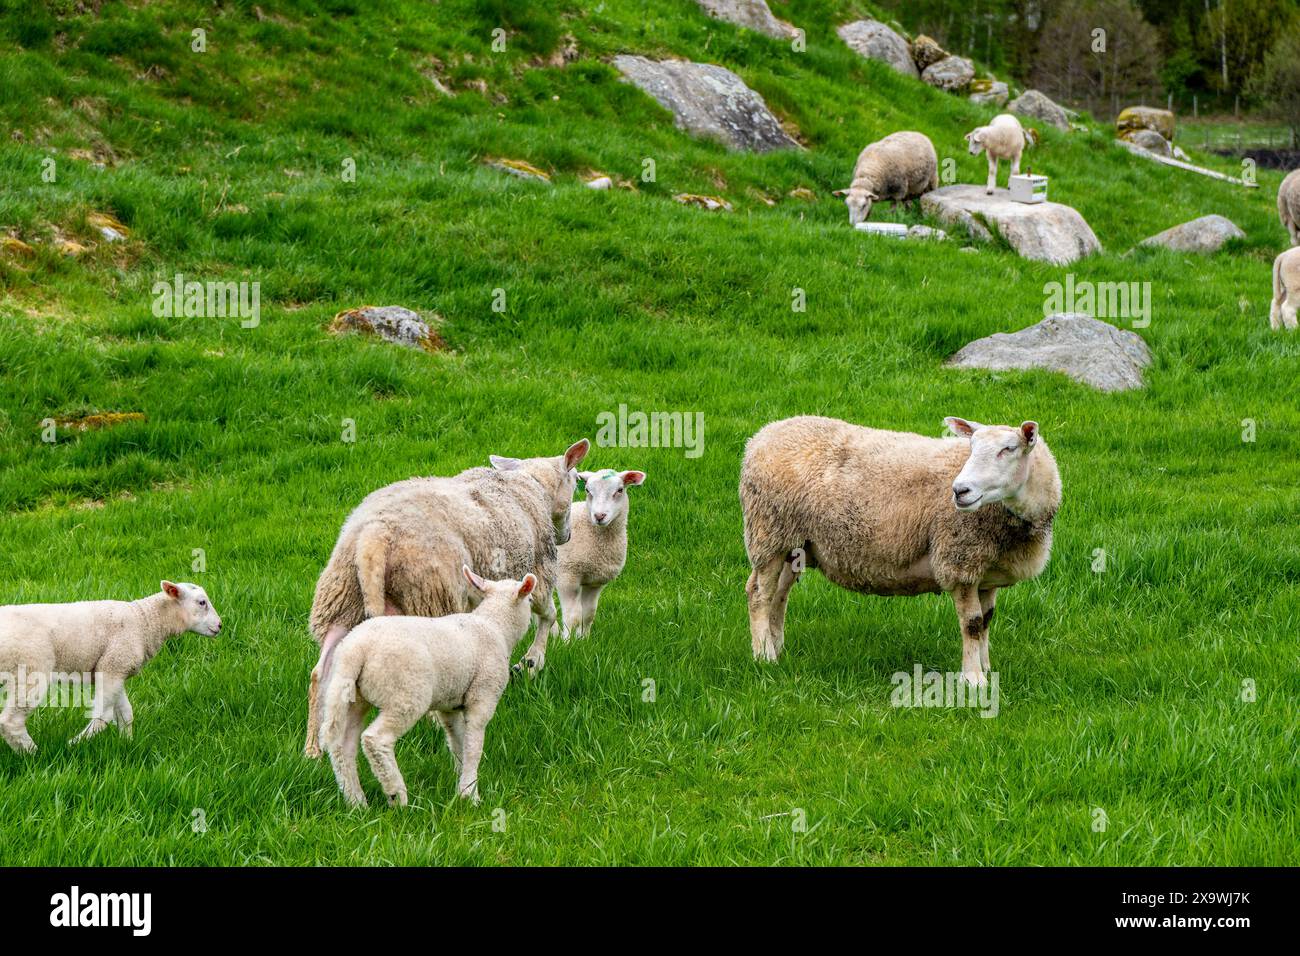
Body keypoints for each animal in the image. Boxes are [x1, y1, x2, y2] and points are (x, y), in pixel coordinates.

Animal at [0, 582, 222, 753]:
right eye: (202, 602)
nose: (220, 625)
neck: (145, 621)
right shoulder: (112, 666)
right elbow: (103, 716)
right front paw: (72, 744)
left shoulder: (117, 668)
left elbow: (126, 714)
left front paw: (128, 745)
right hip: (30, 666)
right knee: (11, 721)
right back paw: (34, 755)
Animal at [304, 438, 590, 758]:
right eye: (575, 481)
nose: (566, 537)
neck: (531, 484)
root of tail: (374, 538)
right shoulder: (537, 569)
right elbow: (548, 614)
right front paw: (533, 661)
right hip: (428, 597)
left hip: (342, 598)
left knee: (320, 674)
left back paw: (313, 748)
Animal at [320, 566, 537, 806]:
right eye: (529, 599)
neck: (495, 626)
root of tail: (356, 650)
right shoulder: (483, 695)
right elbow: (473, 745)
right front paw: (470, 794)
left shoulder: (449, 706)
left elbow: (458, 741)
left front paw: (460, 781)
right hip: (406, 694)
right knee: (375, 740)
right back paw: (396, 795)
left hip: (350, 695)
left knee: (341, 745)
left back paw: (356, 801)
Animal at [555, 468, 646, 639]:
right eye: (587, 490)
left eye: (620, 490)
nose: (599, 516)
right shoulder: (566, 577)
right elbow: (572, 616)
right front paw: (567, 642)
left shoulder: (595, 581)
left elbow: (588, 614)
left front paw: (583, 640)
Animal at [739, 415, 1060, 686]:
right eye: (971, 448)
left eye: (1008, 449)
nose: (960, 490)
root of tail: (760, 436)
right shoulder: (959, 562)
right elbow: (972, 624)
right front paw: (973, 680)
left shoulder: (987, 572)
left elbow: (986, 622)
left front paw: (987, 669)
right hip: (768, 530)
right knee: (758, 593)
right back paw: (763, 655)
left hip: (794, 543)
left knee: (779, 595)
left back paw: (777, 647)